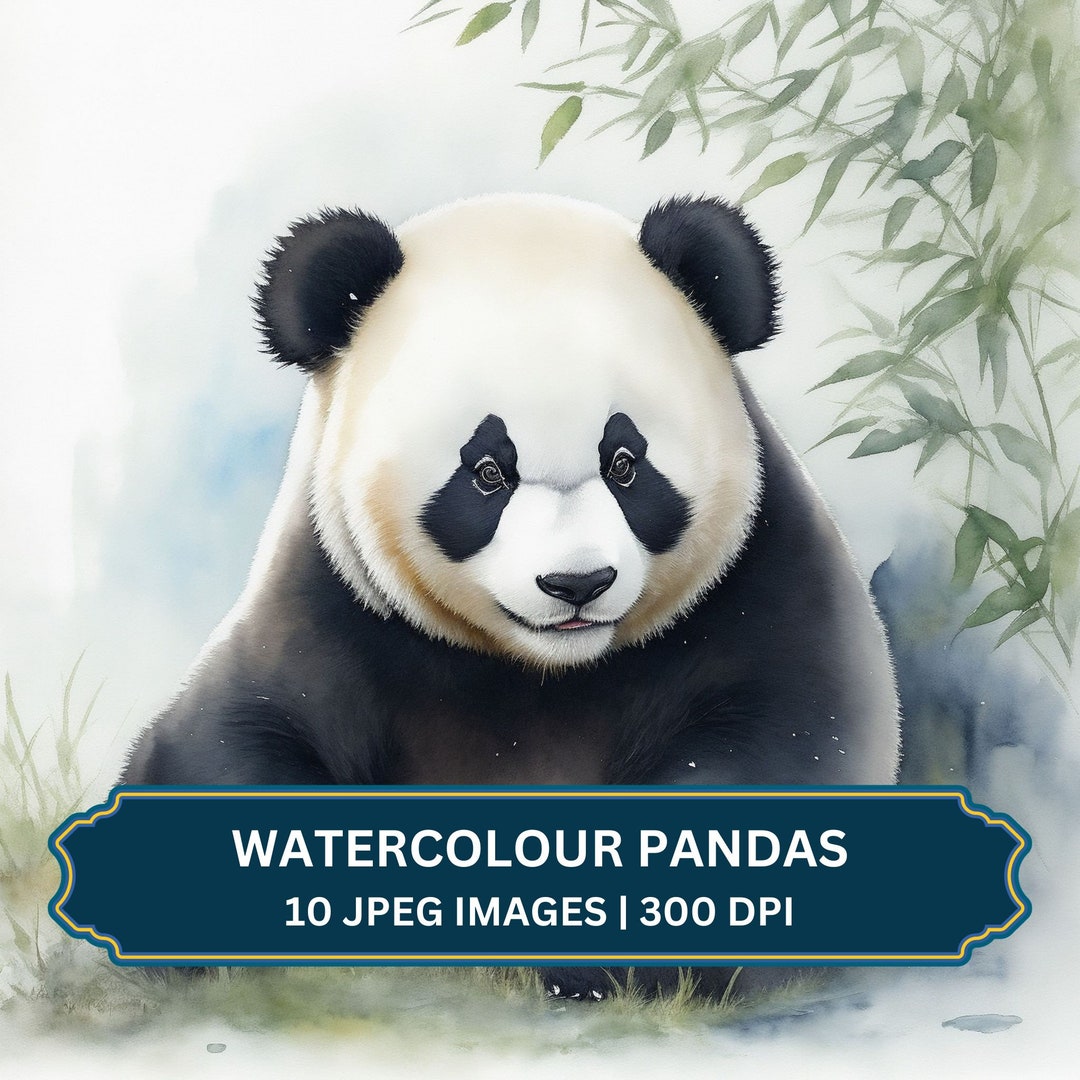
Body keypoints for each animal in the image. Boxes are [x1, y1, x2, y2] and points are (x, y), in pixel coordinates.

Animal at [123, 193, 900, 999]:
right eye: (488, 472)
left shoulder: (761, 581)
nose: (577, 583)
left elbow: (791, 749)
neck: (541, 672)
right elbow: (218, 749)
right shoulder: (331, 607)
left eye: (625, 462)